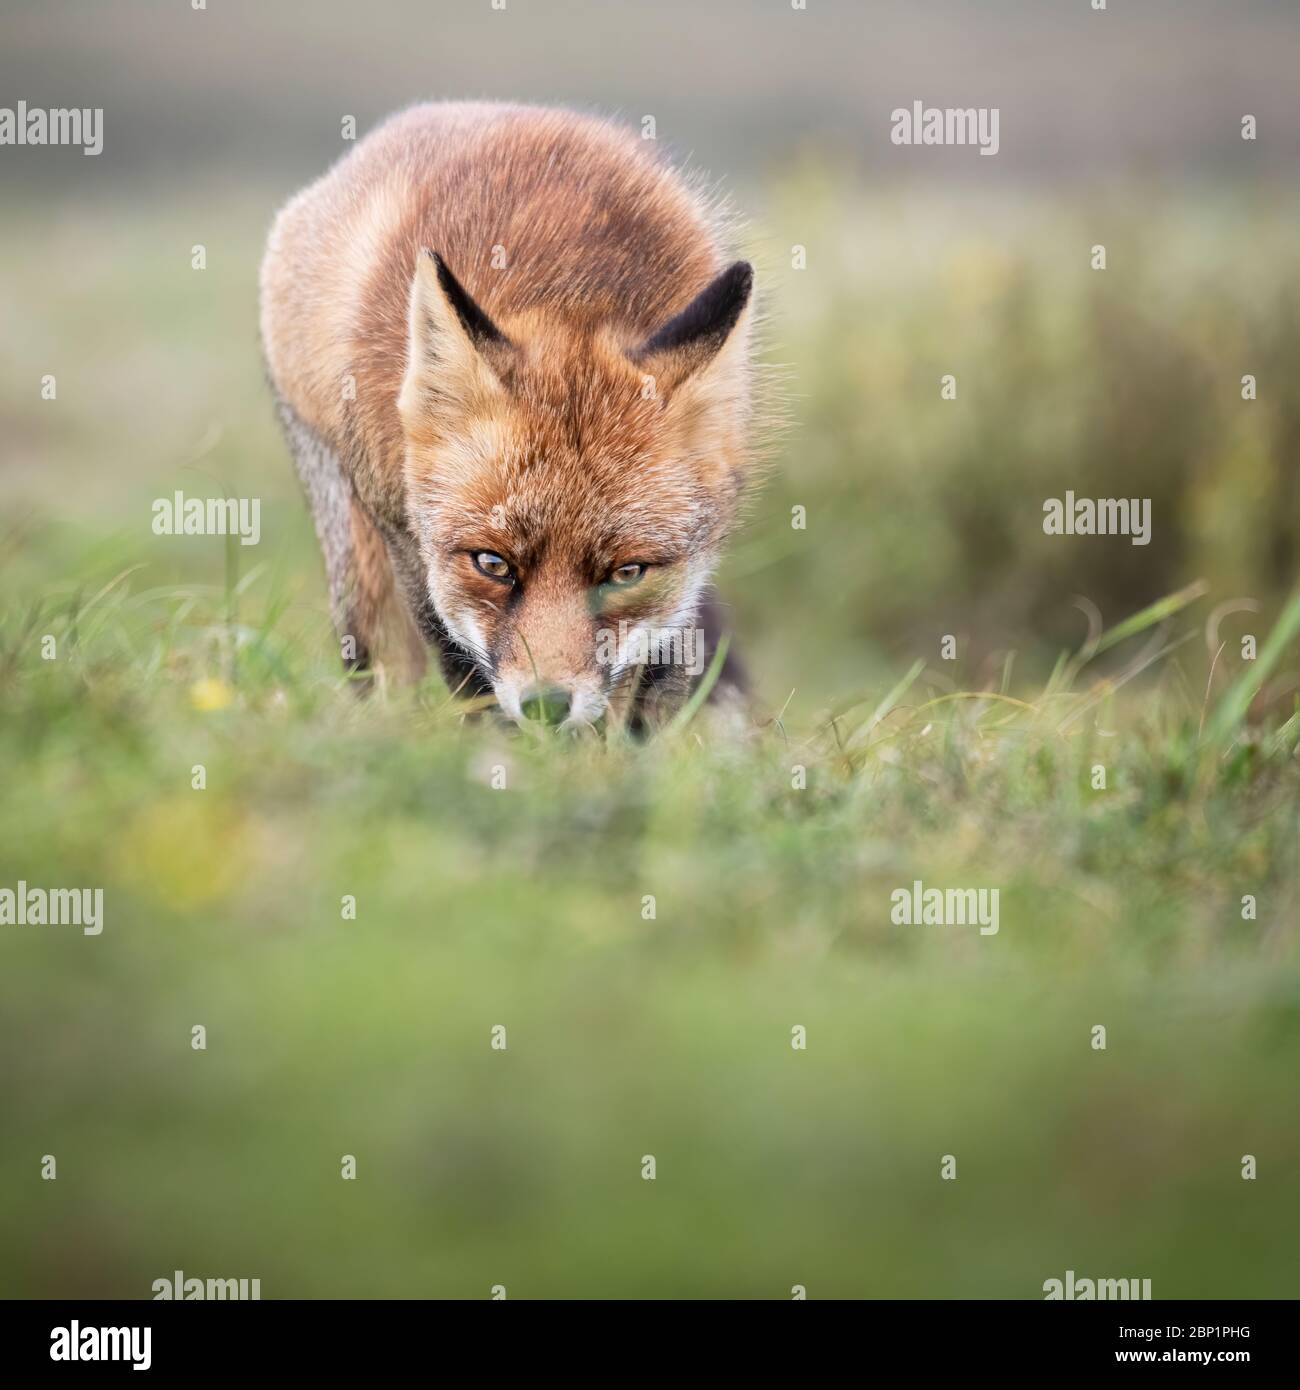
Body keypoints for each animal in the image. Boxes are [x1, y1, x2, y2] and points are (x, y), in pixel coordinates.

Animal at [260, 101, 762, 730]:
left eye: (626, 572)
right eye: (492, 563)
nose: (546, 706)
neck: (573, 287)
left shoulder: (669, 604)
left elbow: (631, 695)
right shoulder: (412, 543)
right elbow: (471, 676)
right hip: (357, 558)